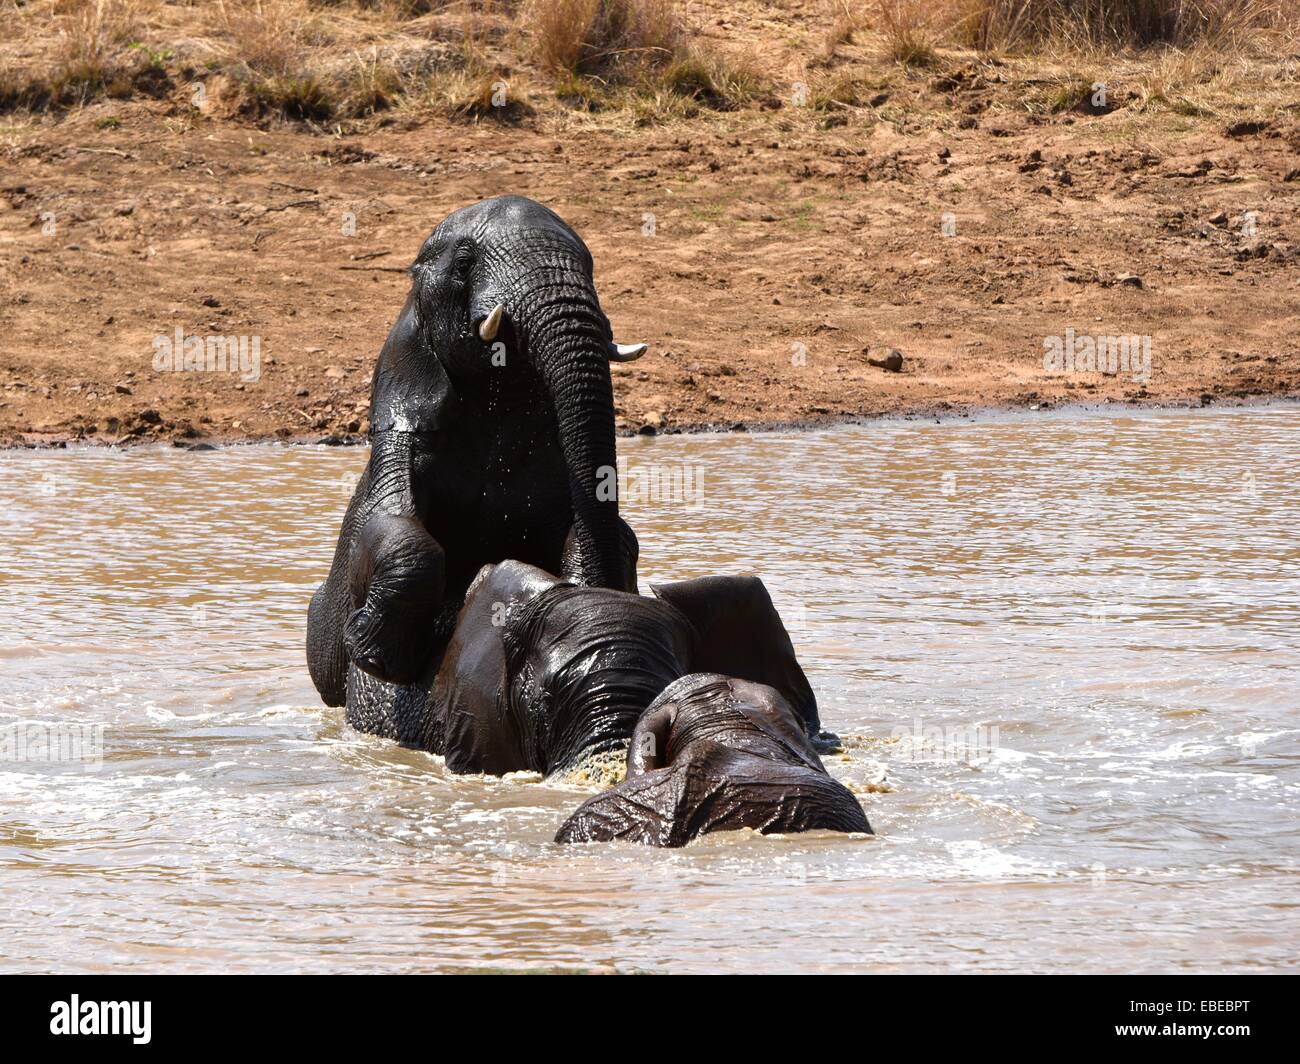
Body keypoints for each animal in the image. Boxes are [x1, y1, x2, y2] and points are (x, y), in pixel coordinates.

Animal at [306, 196, 646, 743]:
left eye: (591, 265)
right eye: (464, 264)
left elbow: (607, 531)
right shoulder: (403, 426)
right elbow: (389, 524)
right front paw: (374, 653)